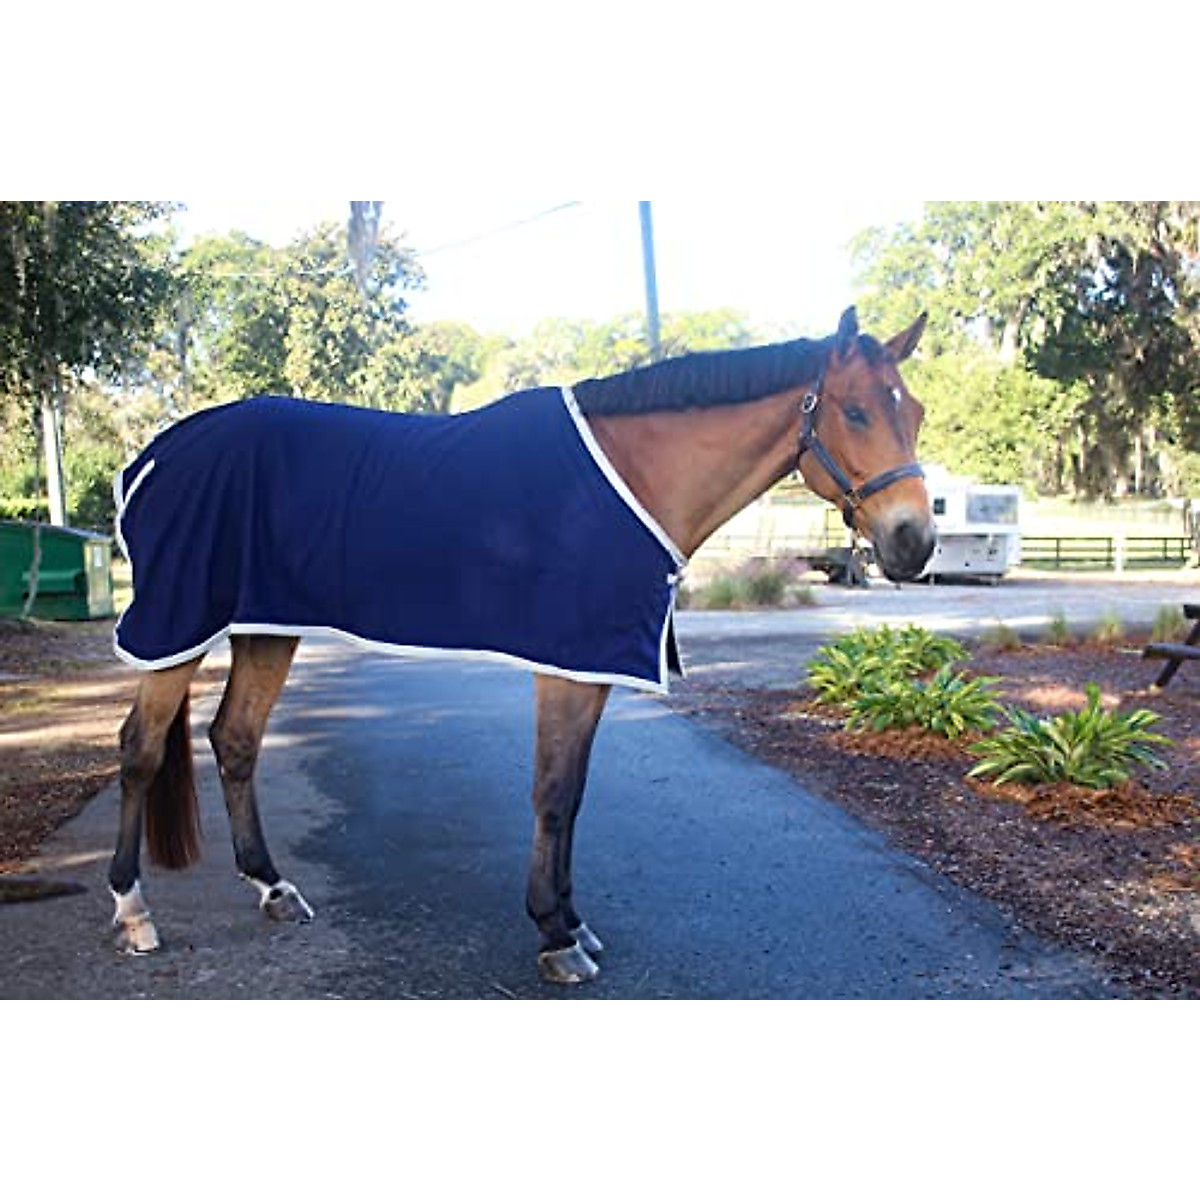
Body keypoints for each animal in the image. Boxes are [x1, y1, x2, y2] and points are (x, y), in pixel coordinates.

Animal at [107, 306, 935, 984]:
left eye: (917, 412)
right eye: (855, 411)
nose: (914, 542)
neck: (631, 476)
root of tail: (157, 454)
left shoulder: (589, 664)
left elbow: (574, 792)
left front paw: (572, 921)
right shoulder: (565, 662)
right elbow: (553, 792)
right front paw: (554, 936)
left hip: (266, 627)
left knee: (236, 739)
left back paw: (273, 888)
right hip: (179, 622)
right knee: (141, 747)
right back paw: (133, 912)